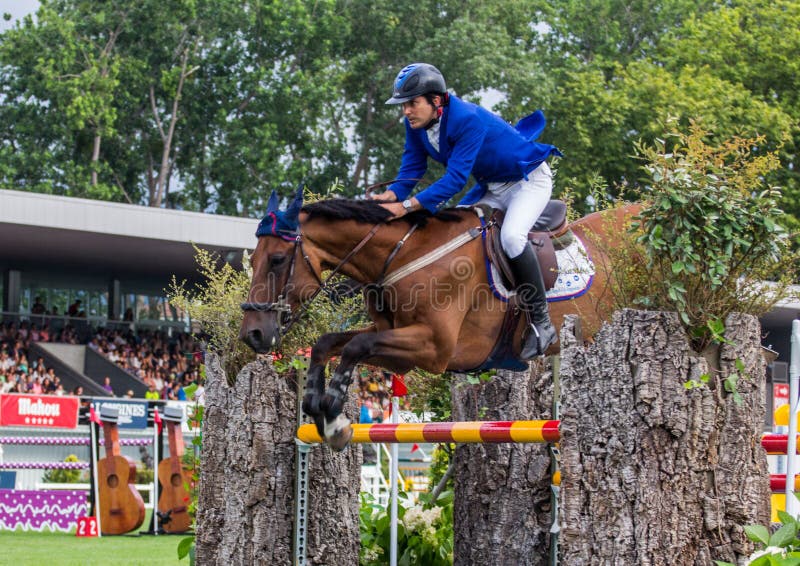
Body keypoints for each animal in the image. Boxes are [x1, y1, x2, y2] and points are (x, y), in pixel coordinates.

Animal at [240, 187, 639, 449]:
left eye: (277, 259)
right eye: (253, 258)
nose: (252, 334)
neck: (403, 254)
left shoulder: (434, 349)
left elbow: (355, 346)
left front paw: (335, 417)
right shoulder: (398, 348)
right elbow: (328, 343)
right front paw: (315, 406)